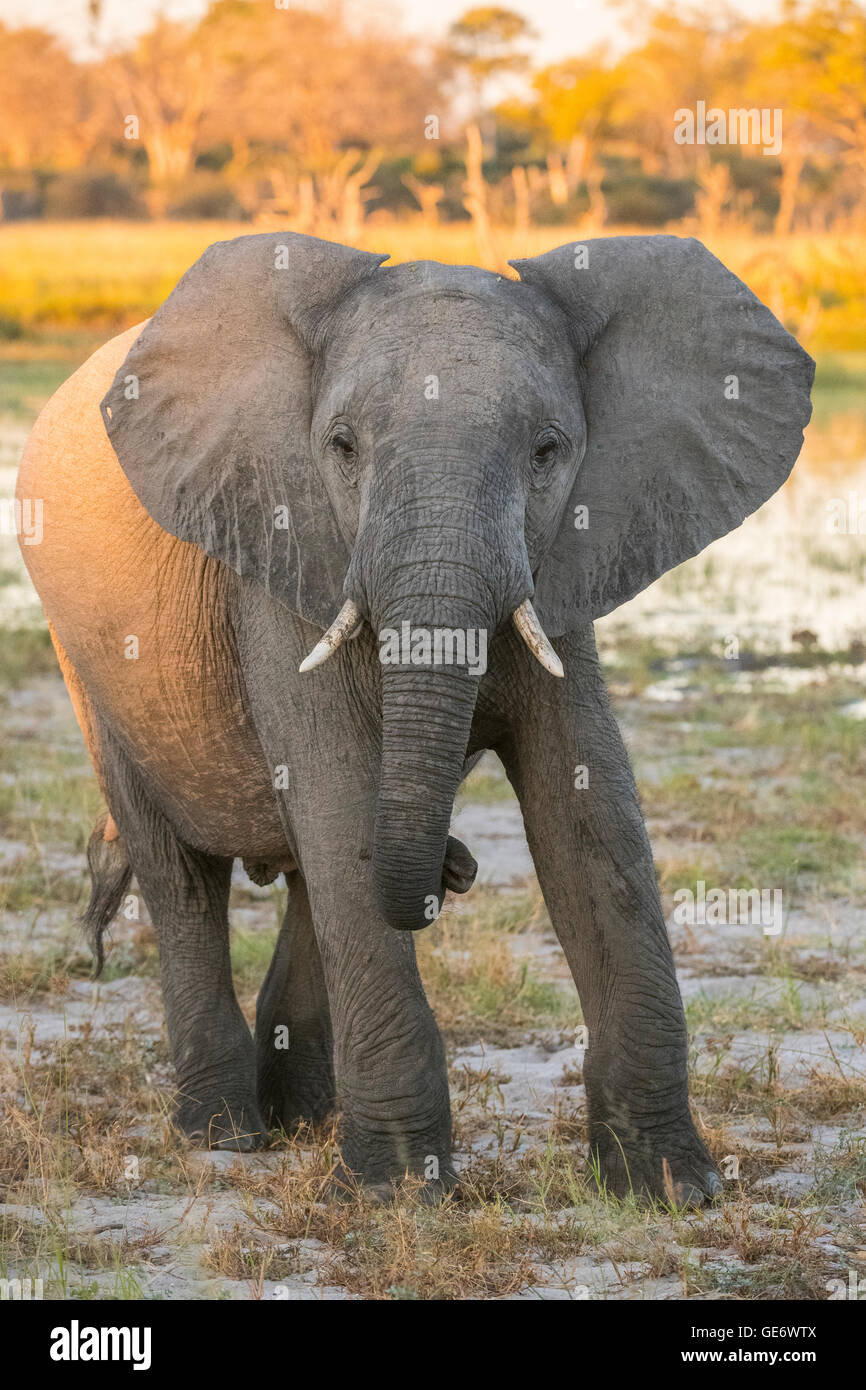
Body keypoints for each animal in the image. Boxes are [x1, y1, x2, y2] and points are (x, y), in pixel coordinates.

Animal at [16, 231, 813, 1203]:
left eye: (548, 451)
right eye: (341, 446)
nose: (455, 868)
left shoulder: (566, 558)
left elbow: (589, 808)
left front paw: (669, 1189)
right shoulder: (281, 542)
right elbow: (337, 794)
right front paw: (399, 1195)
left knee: (310, 880)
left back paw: (303, 1119)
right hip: (88, 668)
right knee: (185, 881)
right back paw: (225, 1134)